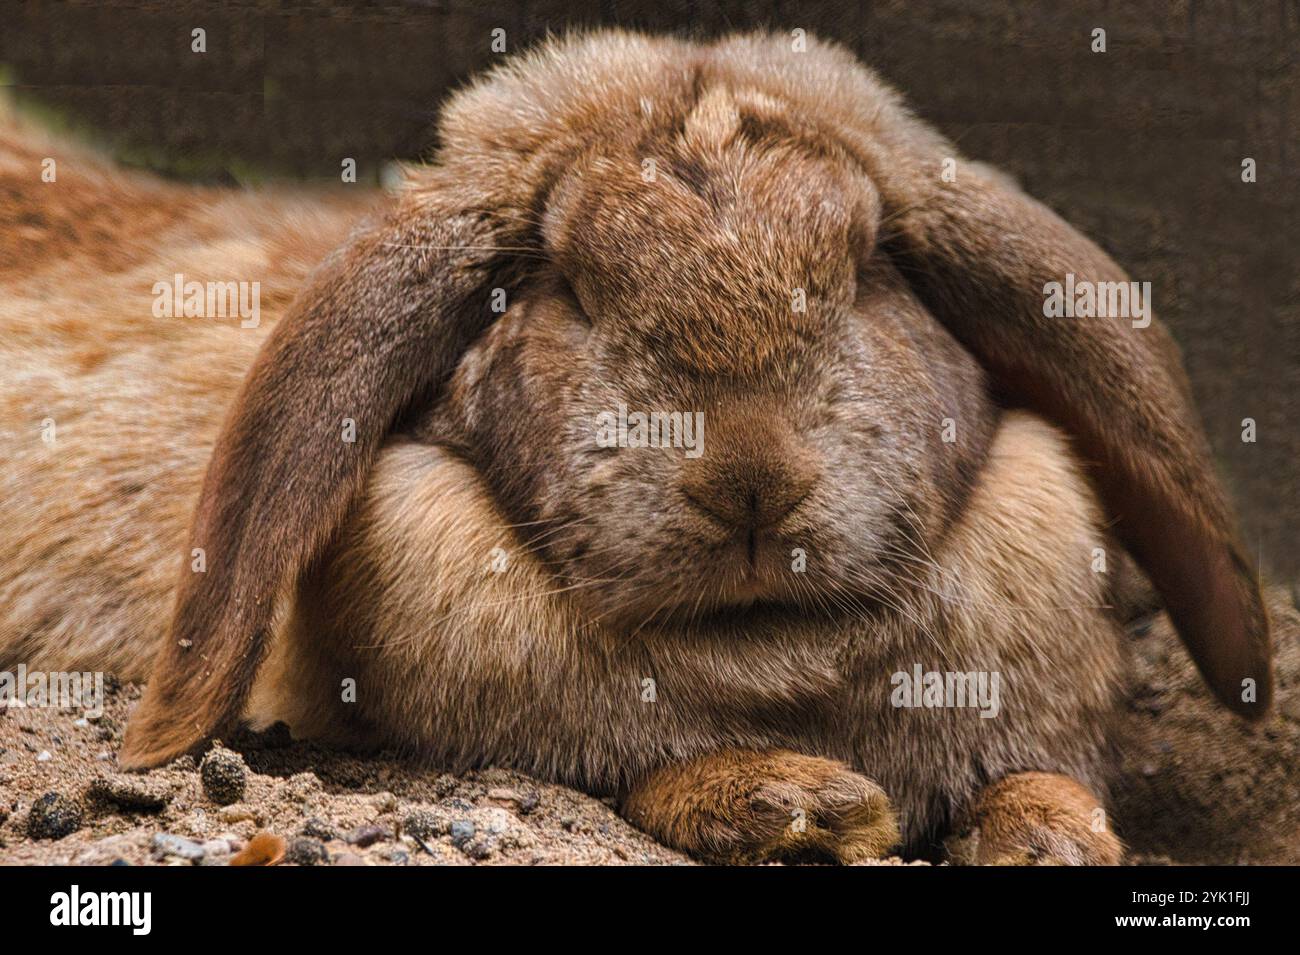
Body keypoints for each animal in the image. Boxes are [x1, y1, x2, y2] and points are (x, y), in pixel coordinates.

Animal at [1, 30, 1276, 864]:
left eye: (869, 269)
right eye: (563, 286)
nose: (751, 483)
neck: (770, 655)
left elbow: (1036, 778)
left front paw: (1049, 839)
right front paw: (804, 808)